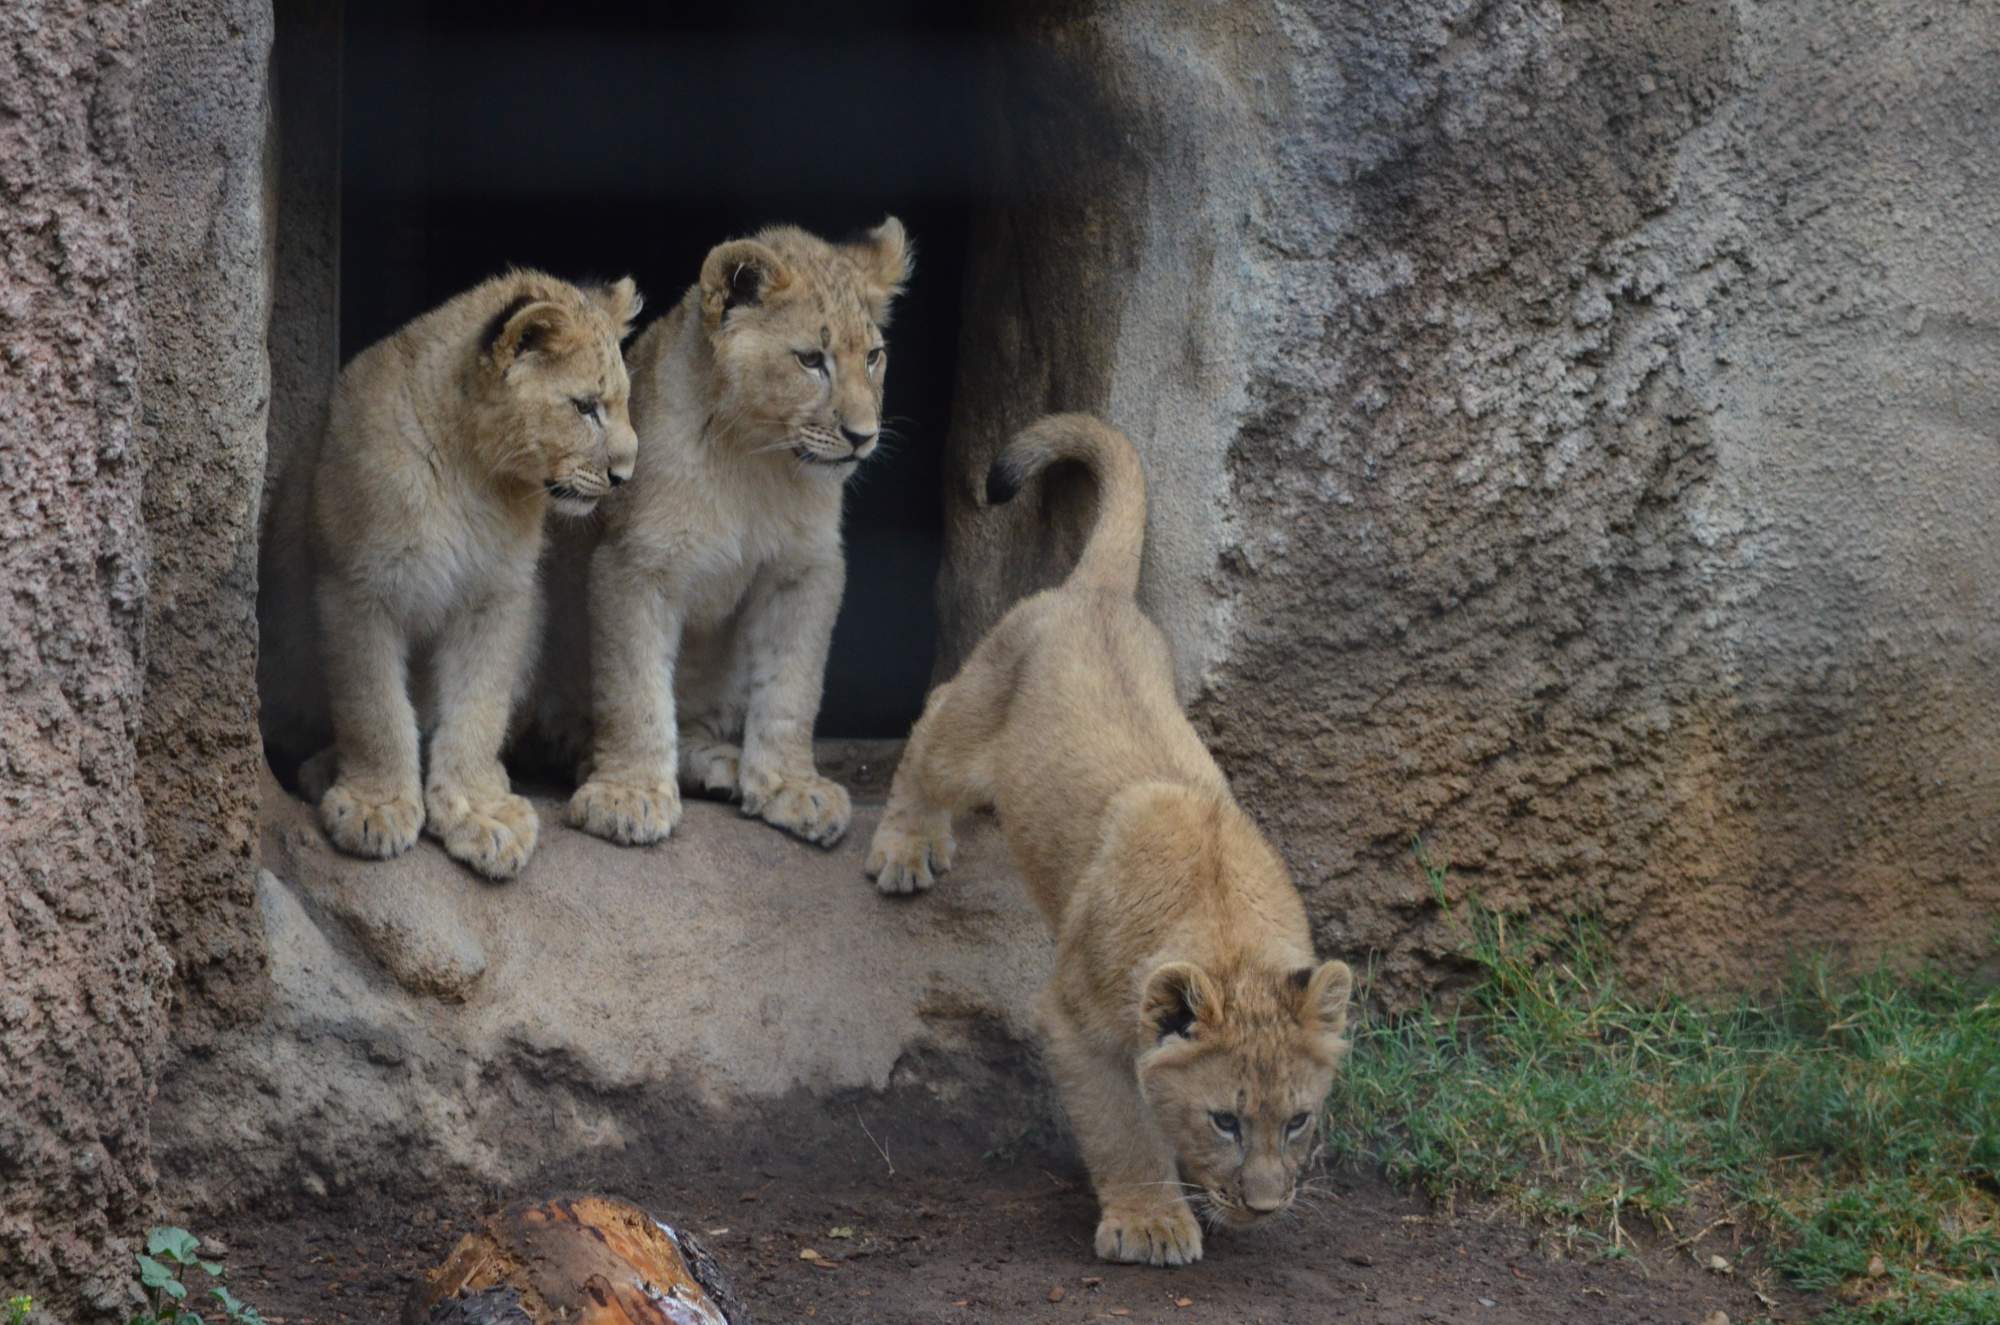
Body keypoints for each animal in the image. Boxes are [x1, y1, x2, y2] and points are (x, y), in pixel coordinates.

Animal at [258, 270, 642, 880]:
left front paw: (479, 811)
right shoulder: (356, 588)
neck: (475, 477)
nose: (625, 474)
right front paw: (376, 805)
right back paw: (322, 770)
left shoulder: (499, 597)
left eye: (622, 404)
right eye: (585, 407)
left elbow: (479, 706)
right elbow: (374, 708)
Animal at [546, 219, 912, 849]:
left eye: (874, 356)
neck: (754, 460)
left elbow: (793, 684)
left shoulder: (804, 568)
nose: (863, 436)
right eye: (811, 360)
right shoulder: (634, 563)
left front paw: (791, 786)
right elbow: (634, 689)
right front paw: (628, 794)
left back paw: (719, 765)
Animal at [864, 414, 1354, 1266]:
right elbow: (1123, 1127)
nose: (1263, 1207)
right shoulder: (1076, 1017)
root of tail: (1091, 592)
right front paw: (1152, 1223)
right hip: (977, 716)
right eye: (1225, 1119)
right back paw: (906, 846)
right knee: (933, 724)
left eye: (1297, 1119)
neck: (1228, 930)